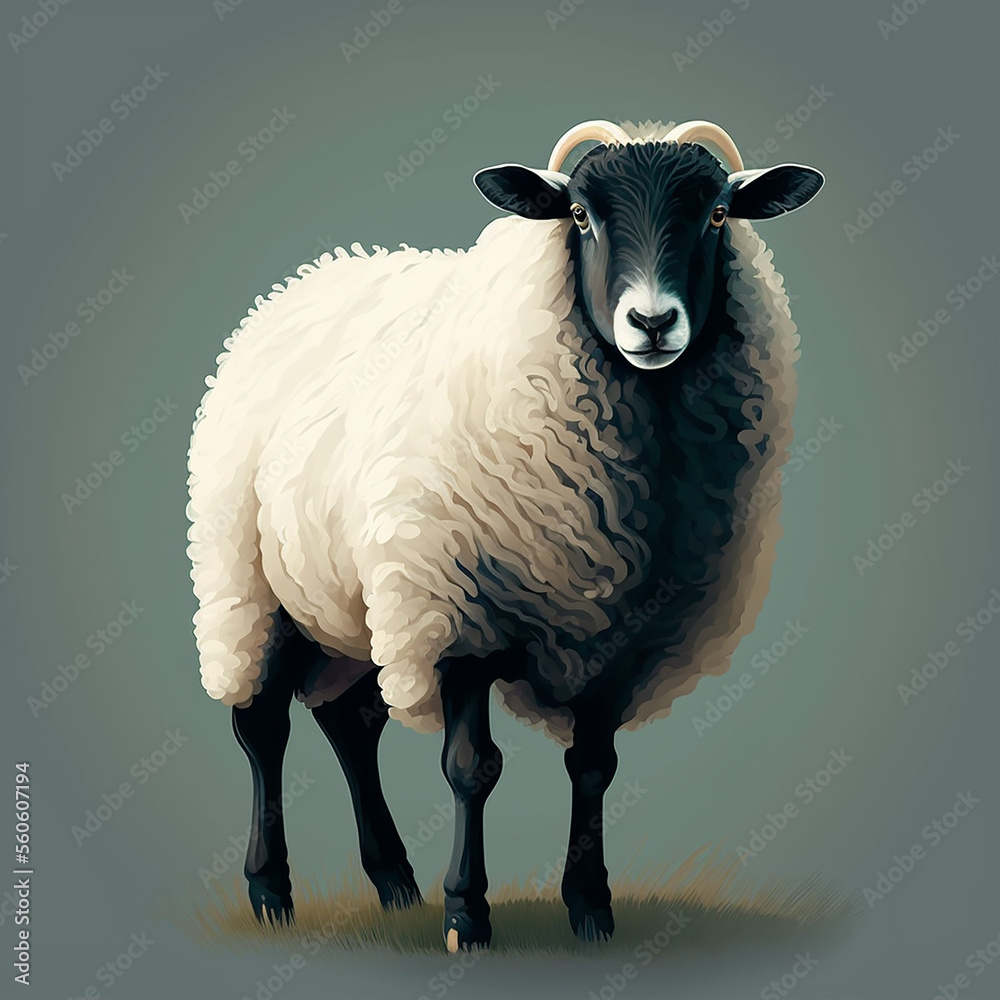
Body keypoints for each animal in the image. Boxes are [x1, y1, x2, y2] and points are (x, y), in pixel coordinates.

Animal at [186, 117, 824, 950]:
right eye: (579, 215)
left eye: (719, 214)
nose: (653, 324)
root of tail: (310, 279)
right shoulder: (458, 616)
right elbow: (471, 767)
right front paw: (467, 914)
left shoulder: (620, 639)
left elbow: (594, 767)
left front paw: (590, 908)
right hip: (249, 584)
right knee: (263, 727)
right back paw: (271, 891)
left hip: (348, 599)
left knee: (350, 722)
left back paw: (394, 881)